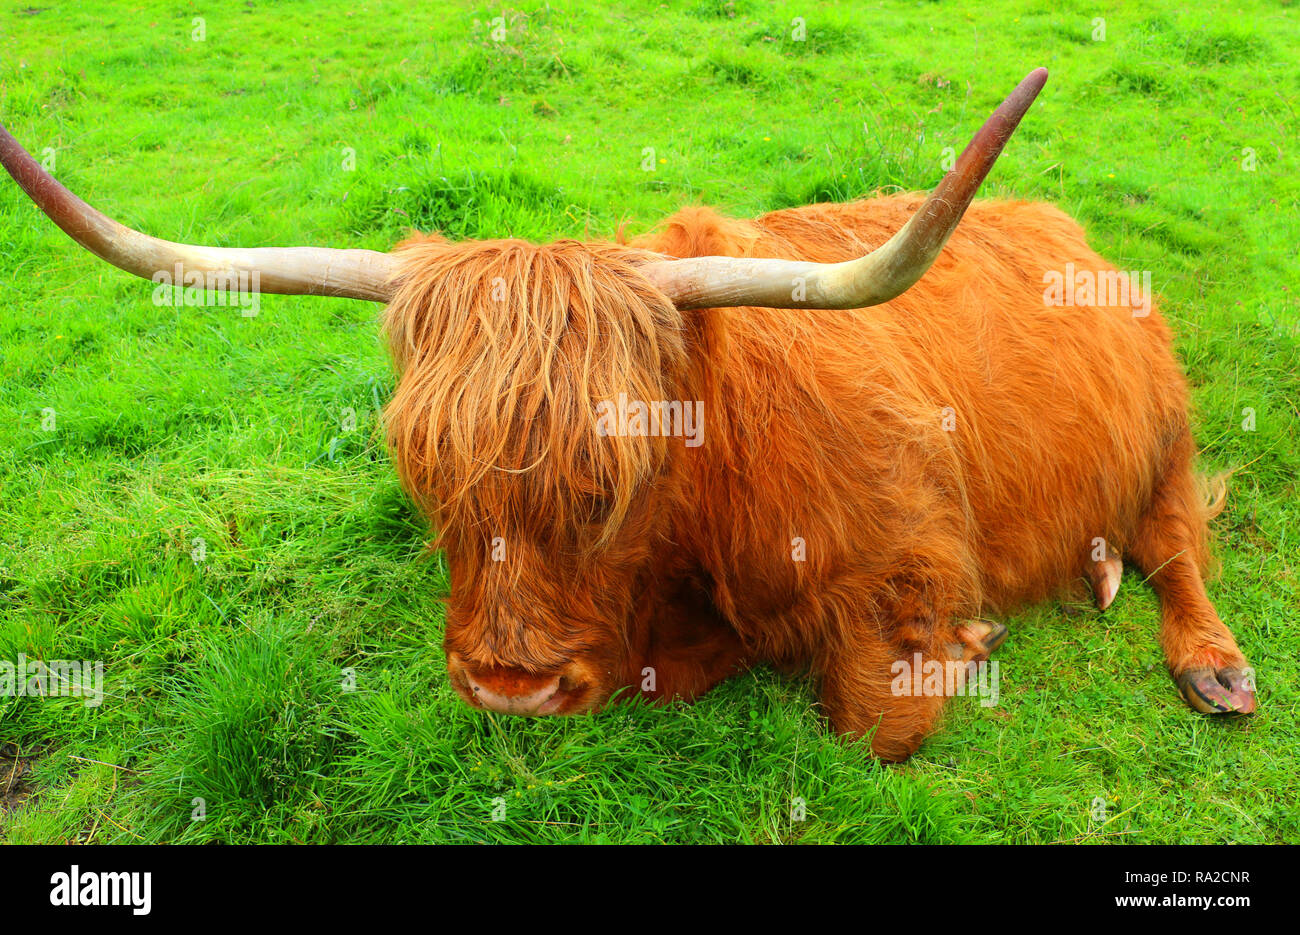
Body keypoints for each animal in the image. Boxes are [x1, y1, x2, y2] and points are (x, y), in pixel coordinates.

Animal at [0, 68, 1256, 761]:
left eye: (616, 480)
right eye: (423, 472)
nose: (509, 682)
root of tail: (1064, 228)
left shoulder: (912, 563)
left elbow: (870, 717)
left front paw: (971, 643)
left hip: (1166, 425)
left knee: (1177, 537)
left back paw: (1212, 664)